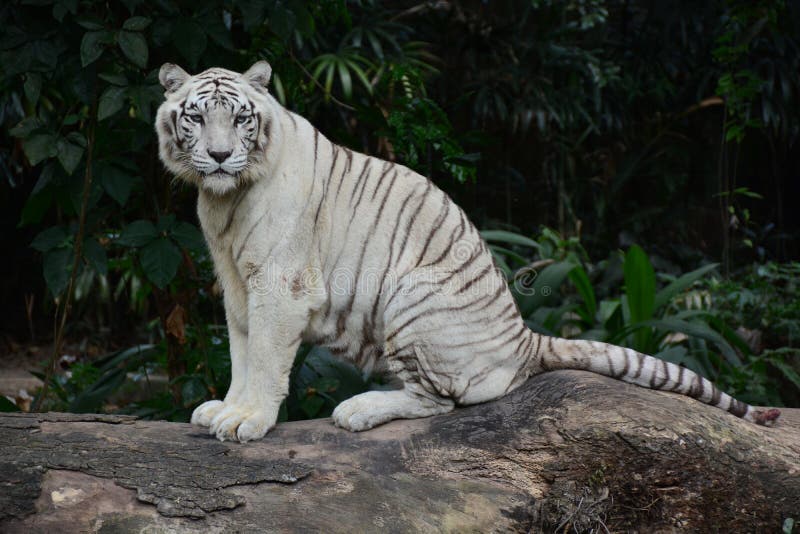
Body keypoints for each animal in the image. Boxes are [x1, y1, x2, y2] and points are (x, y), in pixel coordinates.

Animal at [155, 61, 780, 442]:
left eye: (240, 117)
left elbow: (264, 358)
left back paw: (358, 409)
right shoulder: (238, 284)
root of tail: (525, 338)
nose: (218, 156)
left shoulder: (280, 284)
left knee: (440, 402)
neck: (225, 200)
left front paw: (250, 421)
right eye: (196, 116)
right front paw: (225, 409)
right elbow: (242, 351)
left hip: (410, 293)